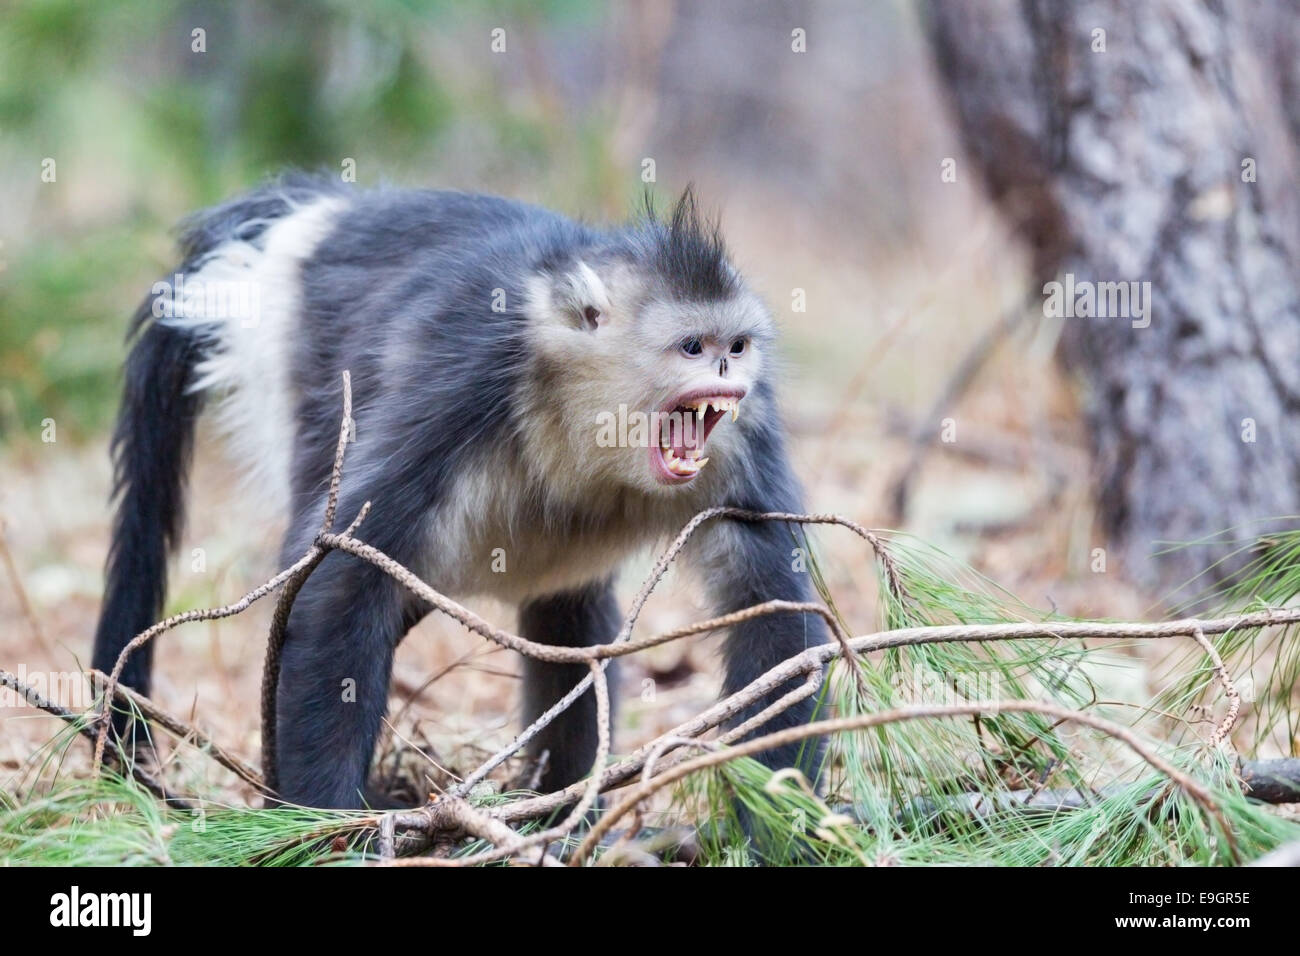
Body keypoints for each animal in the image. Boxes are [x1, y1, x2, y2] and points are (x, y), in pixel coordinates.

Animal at [91, 172, 829, 814]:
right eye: (693, 346)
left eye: (737, 345)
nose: (728, 367)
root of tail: (321, 215)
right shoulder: (469, 378)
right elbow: (338, 582)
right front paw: (325, 821)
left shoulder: (744, 430)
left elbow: (771, 605)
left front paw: (786, 825)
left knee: (570, 616)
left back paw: (561, 811)